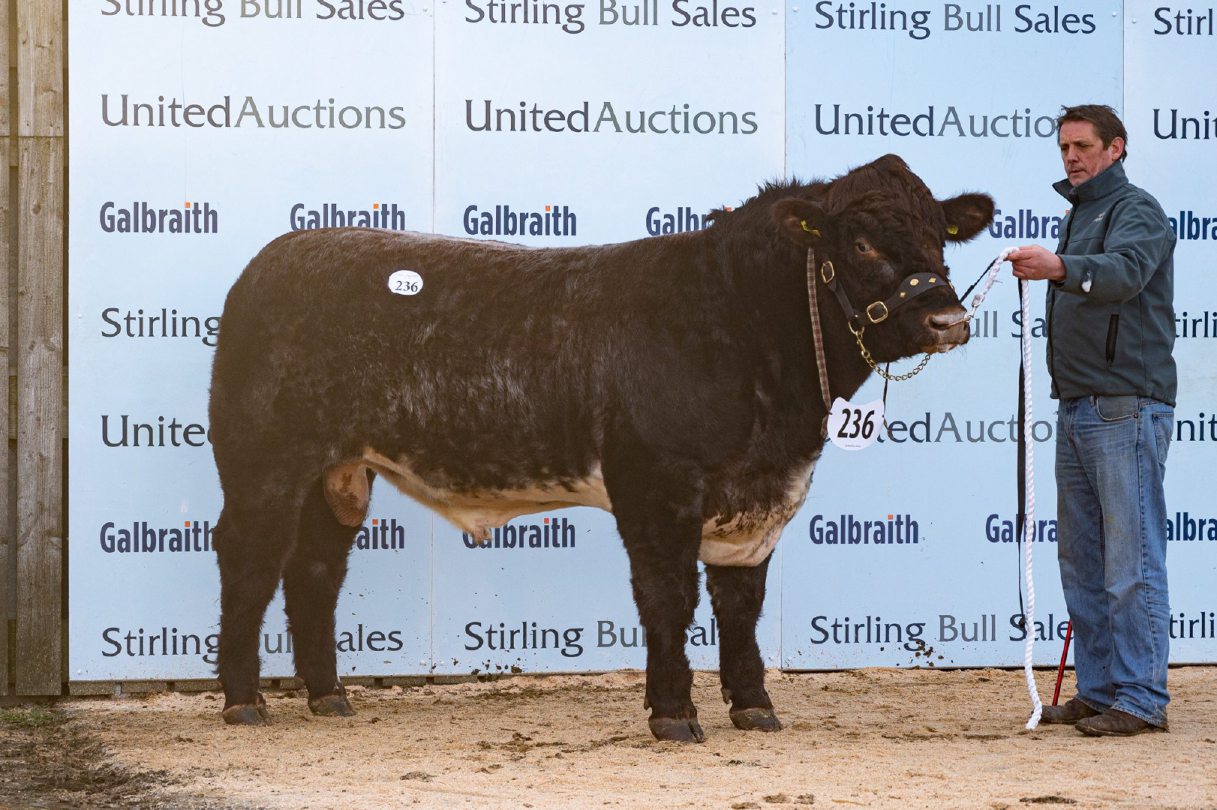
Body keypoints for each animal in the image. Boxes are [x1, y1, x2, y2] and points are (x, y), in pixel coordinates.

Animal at [208, 154, 995, 742]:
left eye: (941, 235)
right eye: (859, 242)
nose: (949, 320)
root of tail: (279, 256)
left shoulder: (762, 494)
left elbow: (741, 603)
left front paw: (754, 708)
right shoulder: (655, 480)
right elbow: (668, 596)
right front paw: (673, 715)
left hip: (340, 471)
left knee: (314, 569)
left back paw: (328, 696)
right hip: (262, 461)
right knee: (250, 562)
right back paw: (244, 701)